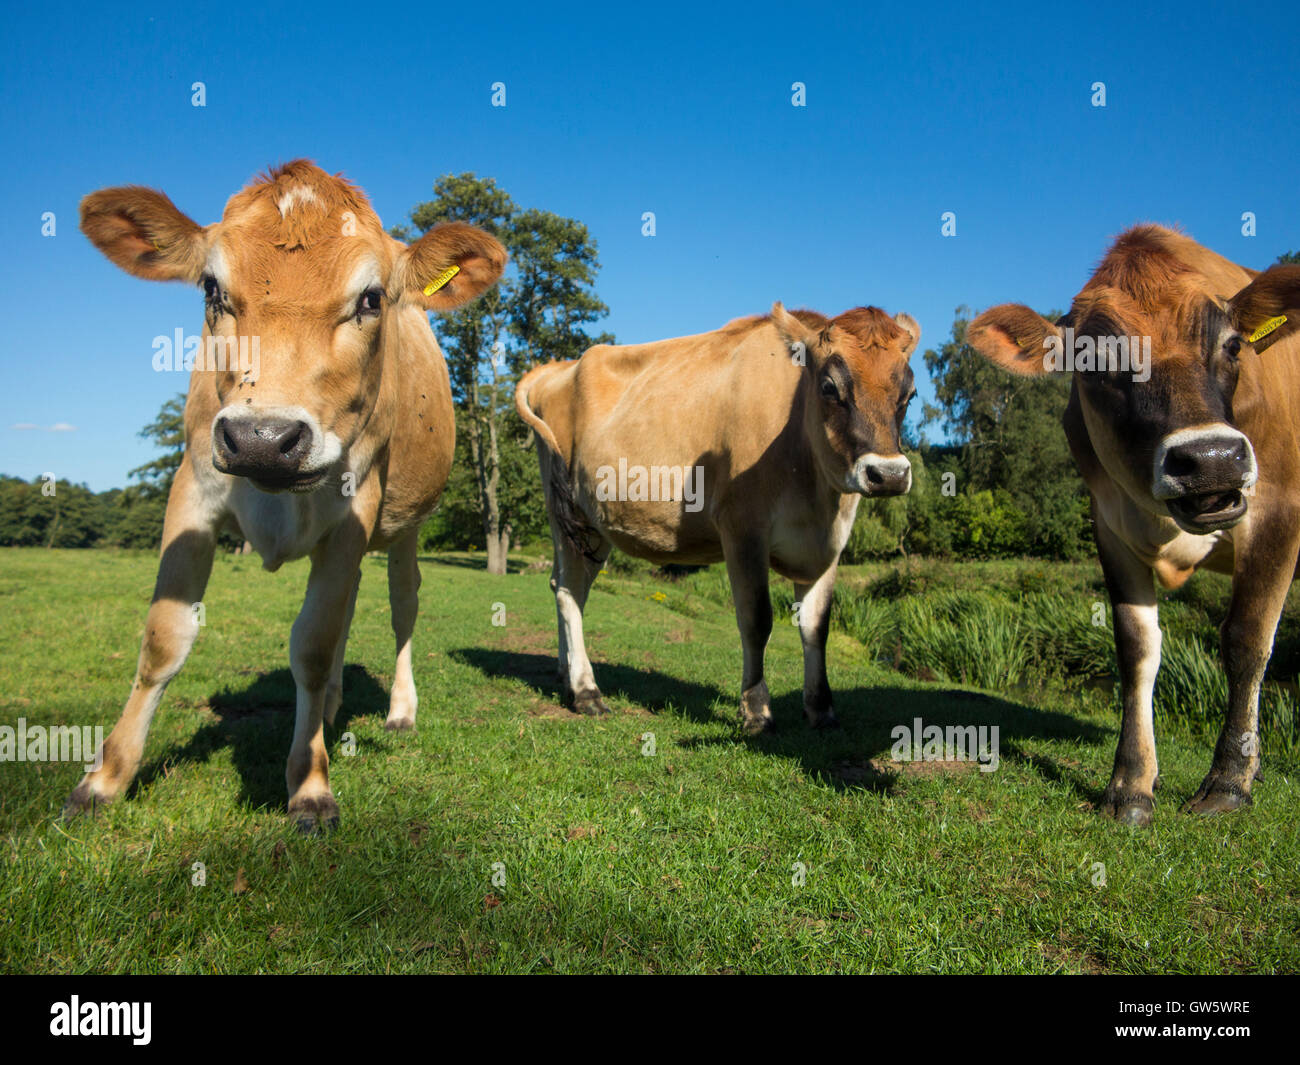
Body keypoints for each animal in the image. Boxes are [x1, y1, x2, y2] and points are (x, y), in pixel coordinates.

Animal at [66, 160, 506, 832]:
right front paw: (105, 777)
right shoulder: (193, 486)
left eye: (371, 298)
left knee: (402, 605)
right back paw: (327, 708)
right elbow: (165, 637)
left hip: (406, 525)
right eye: (212, 290)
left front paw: (310, 784)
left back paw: (399, 709)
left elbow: (314, 644)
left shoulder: (357, 507)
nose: (263, 439)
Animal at [515, 303, 919, 733]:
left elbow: (816, 627)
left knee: (564, 584)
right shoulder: (742, 528)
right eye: (829, 387)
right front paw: (756, 711)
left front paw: (821, 709)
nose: (889, 474)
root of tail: (563, 366)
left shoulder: (829, 545)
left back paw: (565, 674)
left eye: (909, 395)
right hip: (567, 510)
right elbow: (757, 620)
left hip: (591, 524)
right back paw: (586, 692)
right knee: (570, 591)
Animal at [967, 225, 1300, 826]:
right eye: (1095, 363)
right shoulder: (1110, 524)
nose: (1211, 459)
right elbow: (1136, 648)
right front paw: (1131, 784)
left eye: (1233, 345)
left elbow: (1247, 640)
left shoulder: (1280, 511)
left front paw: (1229, 781)